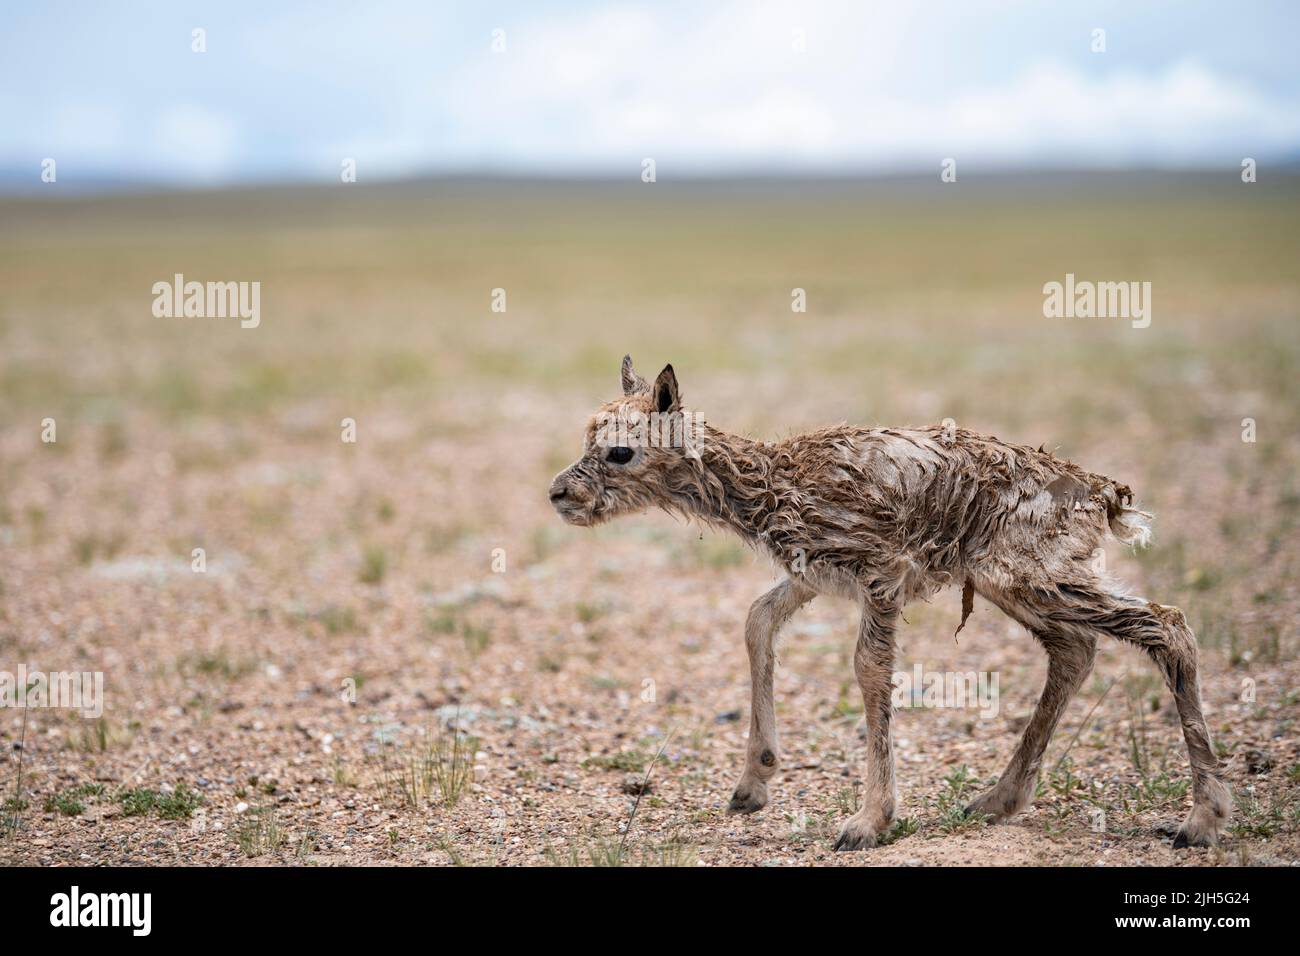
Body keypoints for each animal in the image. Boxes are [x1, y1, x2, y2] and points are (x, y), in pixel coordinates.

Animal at [548, 357, 1231, 850]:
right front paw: (753, 783)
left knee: (1168, 627)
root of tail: (1103, 492)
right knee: (1077, 649)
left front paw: (868, 821)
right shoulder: (814, 575)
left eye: (620, 451)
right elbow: (756, 621)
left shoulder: (879, 575)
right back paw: (996, 800)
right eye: (586, 435)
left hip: (1032, 577)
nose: (559, 494)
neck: (775, 480)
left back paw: (1200, 820)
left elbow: (870, 670)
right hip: (1012, 582)